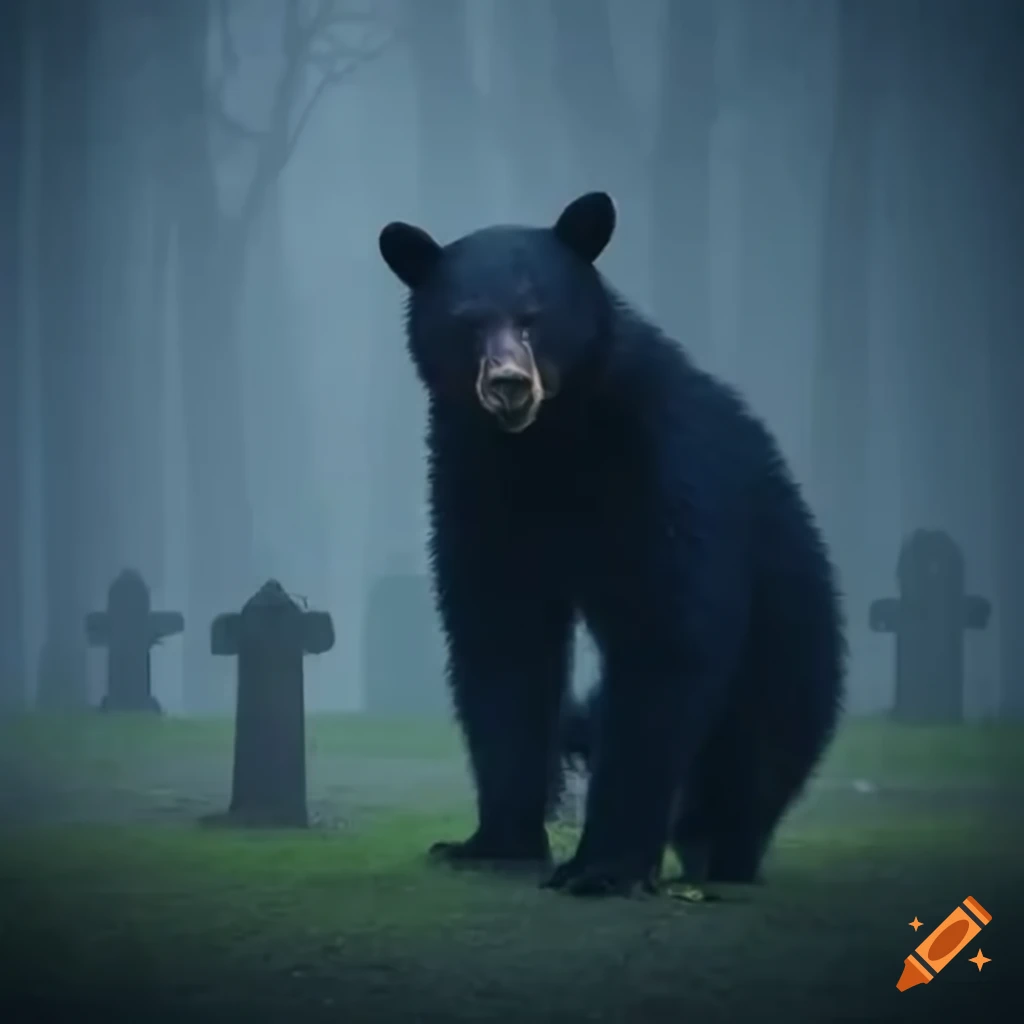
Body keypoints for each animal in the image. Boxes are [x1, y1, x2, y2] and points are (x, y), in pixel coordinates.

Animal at [378, 192, 846, 897]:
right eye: (466, 322)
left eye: (535, 317)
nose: (509, 385)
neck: (551, 444)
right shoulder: (475, 480)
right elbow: (502, 637)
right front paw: (492, 842)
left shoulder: (662, 464)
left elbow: (667, 635)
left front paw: (600, 867)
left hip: (788, 642)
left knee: (752, 759)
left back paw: (715, 850)